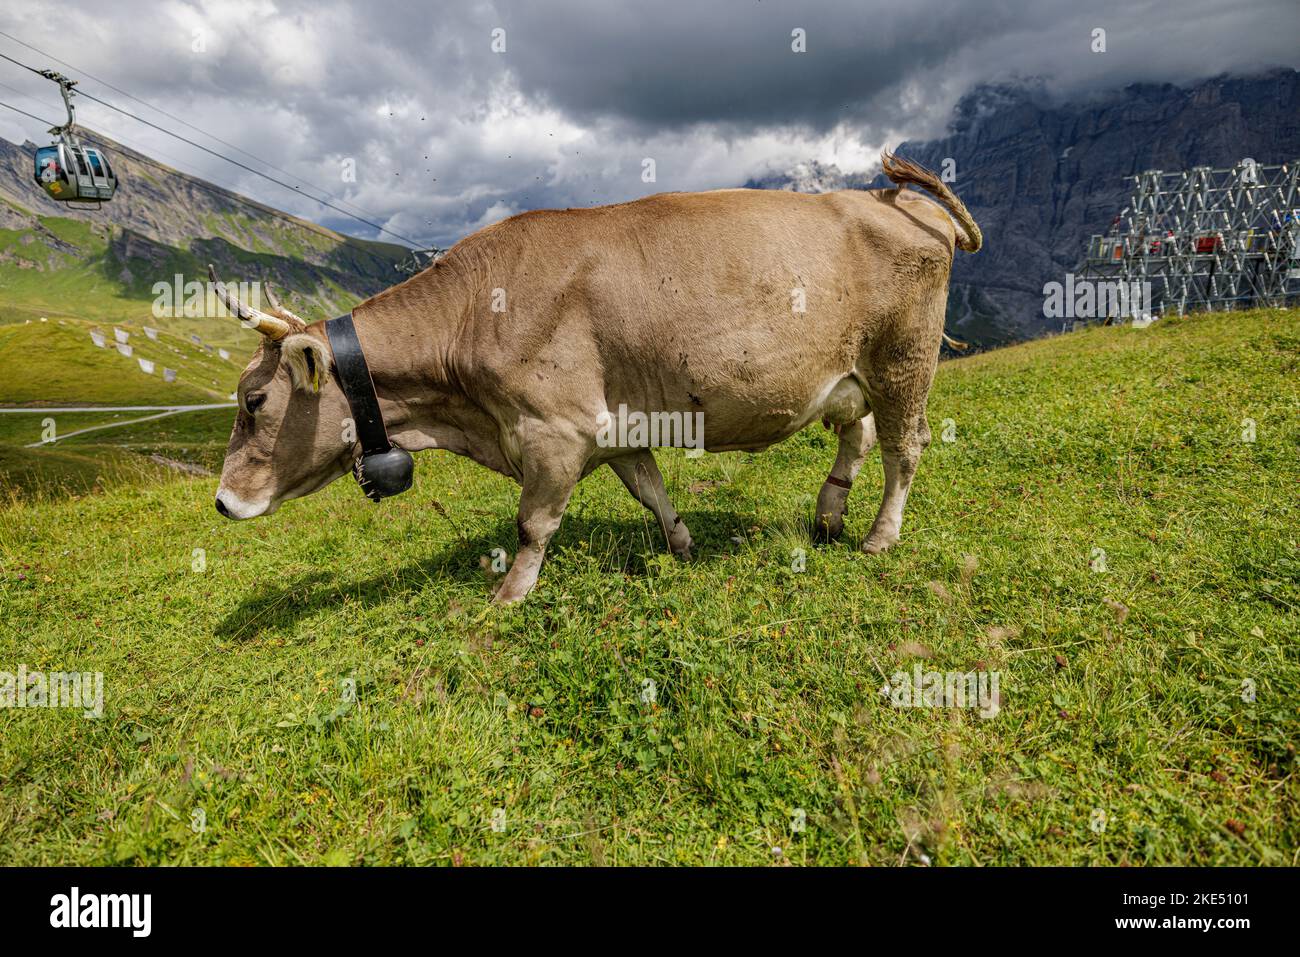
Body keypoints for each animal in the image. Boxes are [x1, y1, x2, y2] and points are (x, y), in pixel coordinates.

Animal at [211, 151, 981, 603]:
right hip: (849, 376)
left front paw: (509, 596)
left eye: (254, 400)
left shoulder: (553, 431)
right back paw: (827, 515)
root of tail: (891, 198)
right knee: (858, 437)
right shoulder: (616, 428)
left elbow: (532, 523)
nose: (222, 502)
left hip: (905, 361)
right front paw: (683, 546)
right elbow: (652, 493)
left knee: (905, 447)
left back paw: (879, 537)